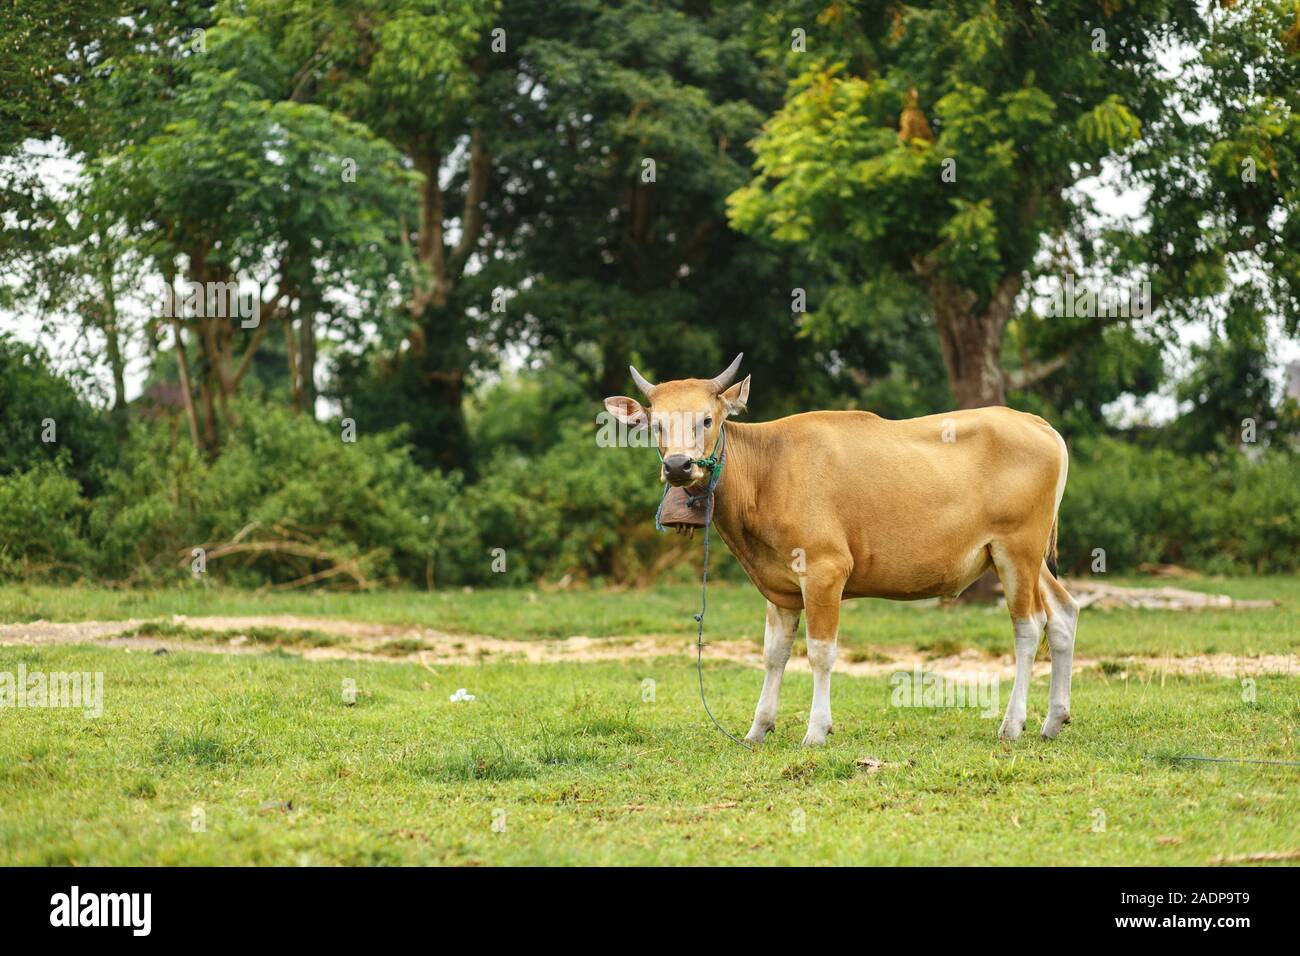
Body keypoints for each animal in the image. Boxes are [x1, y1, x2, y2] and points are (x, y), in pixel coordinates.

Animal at [604, 354, 1078, 746]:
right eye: (657, 425)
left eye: (706, 420)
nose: (678, 465)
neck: (768, 470)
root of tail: (1038, 424)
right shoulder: (781, 586)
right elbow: (773, 654)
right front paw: (758, 728)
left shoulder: (824, 570)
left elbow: (820, 652)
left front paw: (816, 730)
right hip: (1025, 557)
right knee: (1063, 614)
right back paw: (1053, 720)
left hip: (1017, 550)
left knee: (1028, 626)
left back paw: (1013, 723)